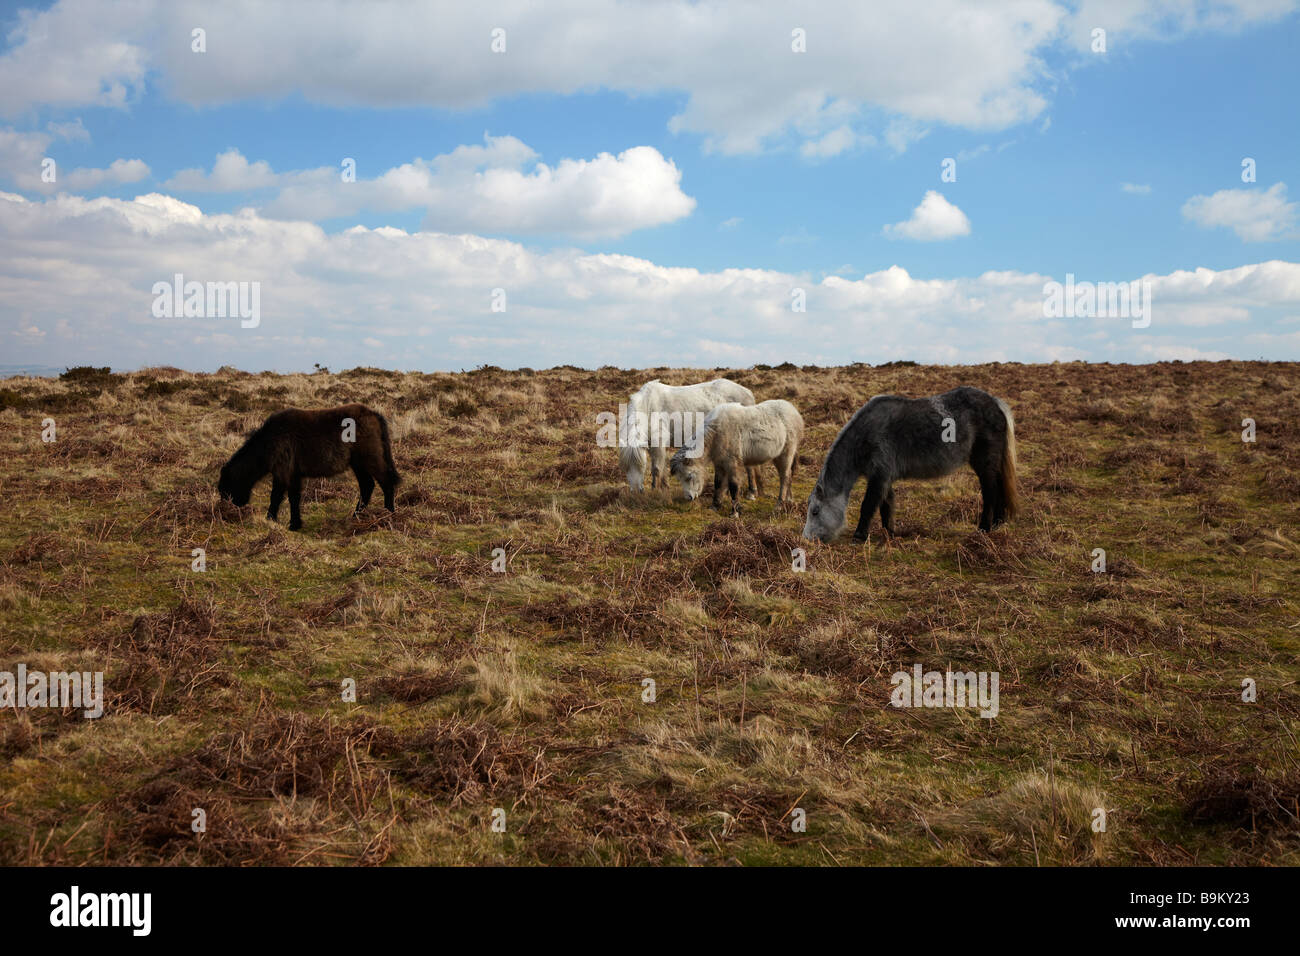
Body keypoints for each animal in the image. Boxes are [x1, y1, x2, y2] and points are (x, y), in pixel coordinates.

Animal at [217, 403, 400, 531]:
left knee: (386, 483)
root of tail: (374, 415)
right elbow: (290, 497)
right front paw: (291, 523)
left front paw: (275, 520)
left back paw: (389, 514)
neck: (268, 441)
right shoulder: (291, 474)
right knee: (367, 486)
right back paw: (356, 516)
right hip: (358, 464)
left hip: (370, 460)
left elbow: (278, 497)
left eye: (226, 488)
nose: (228, 513)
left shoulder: (284, 472)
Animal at [618, 378, 757, 492]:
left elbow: (657, 469)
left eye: (642, 465)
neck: (648, 405)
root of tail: (747, 392)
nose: (636, 491)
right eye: (625, 466)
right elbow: (662, 468)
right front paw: (664, 488)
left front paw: (655, 492)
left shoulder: (659, 444)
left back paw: (752, 492)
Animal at [669, 399, 804, 515]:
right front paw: (715, 506)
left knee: (785, 477)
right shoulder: (720, 464)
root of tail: (794, 412)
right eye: (679, 479)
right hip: (778, 457)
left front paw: (734, 512)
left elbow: (733, 486)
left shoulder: (732, 464)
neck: (716, 432)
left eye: (689, 476)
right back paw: (789, 500)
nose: (689, 497)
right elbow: (718, 484)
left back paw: (779, 505)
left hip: (786, 455)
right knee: (788, 476)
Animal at [802, 386, 1018, 542]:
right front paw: (890, 534)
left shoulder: (879, 477)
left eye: (815, 511)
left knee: (990, 493)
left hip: (985, 464)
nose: (807, 540)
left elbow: (869, 505)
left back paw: (984, 529)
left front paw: (859, 536)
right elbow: (886, 505)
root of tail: (995, 403)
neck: (867, 434)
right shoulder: (884, 478)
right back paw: (998, 523)